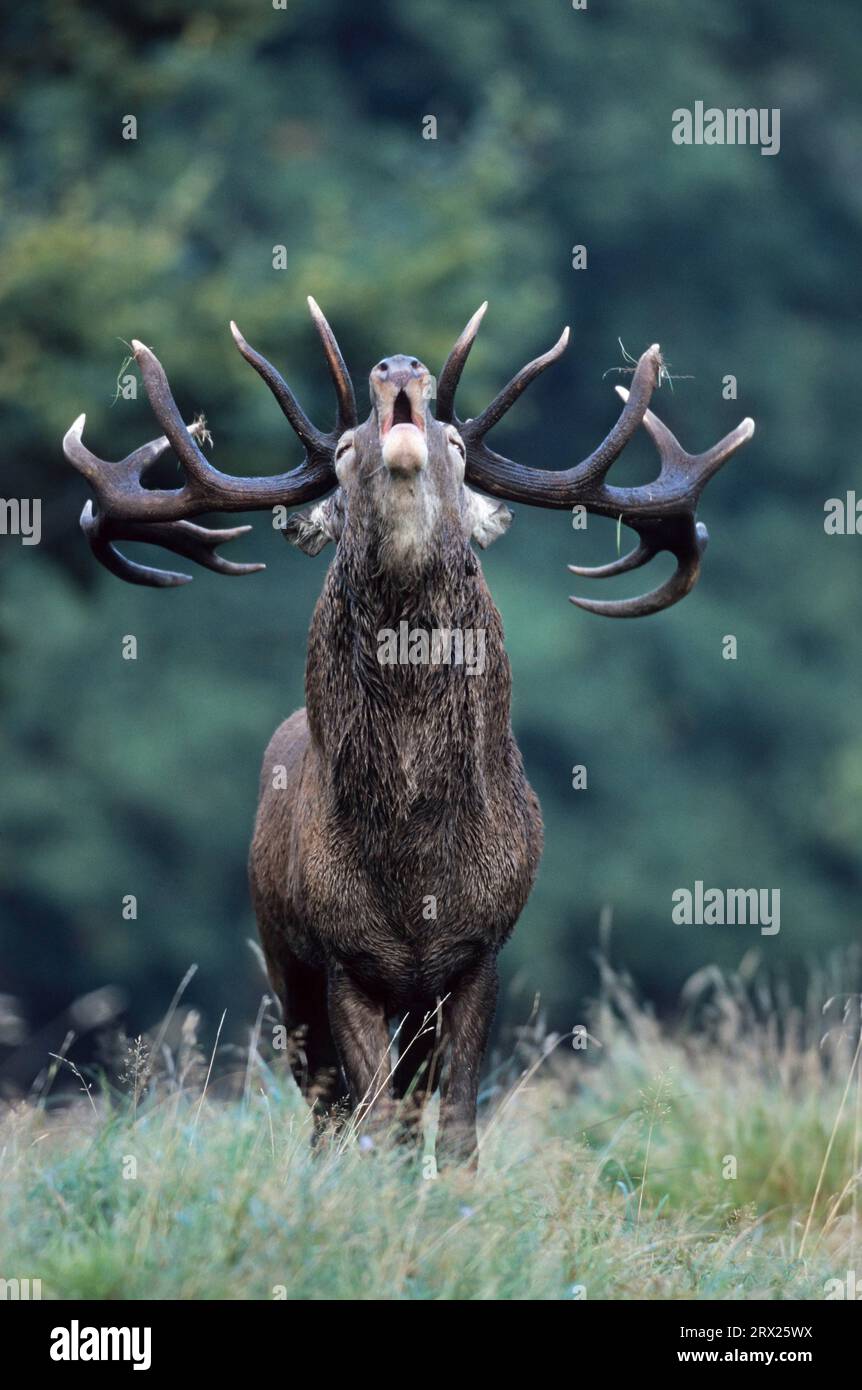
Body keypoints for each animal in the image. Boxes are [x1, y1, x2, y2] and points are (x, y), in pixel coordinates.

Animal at [63, 298, 754, 1164]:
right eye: (343, 450)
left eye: (456, 446)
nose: (399, 368)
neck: (416, 866)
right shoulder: (339, 960)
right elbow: (371, 1119)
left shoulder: (479, 952)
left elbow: (454, 1124)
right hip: (283, 964)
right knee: (327, 1110)